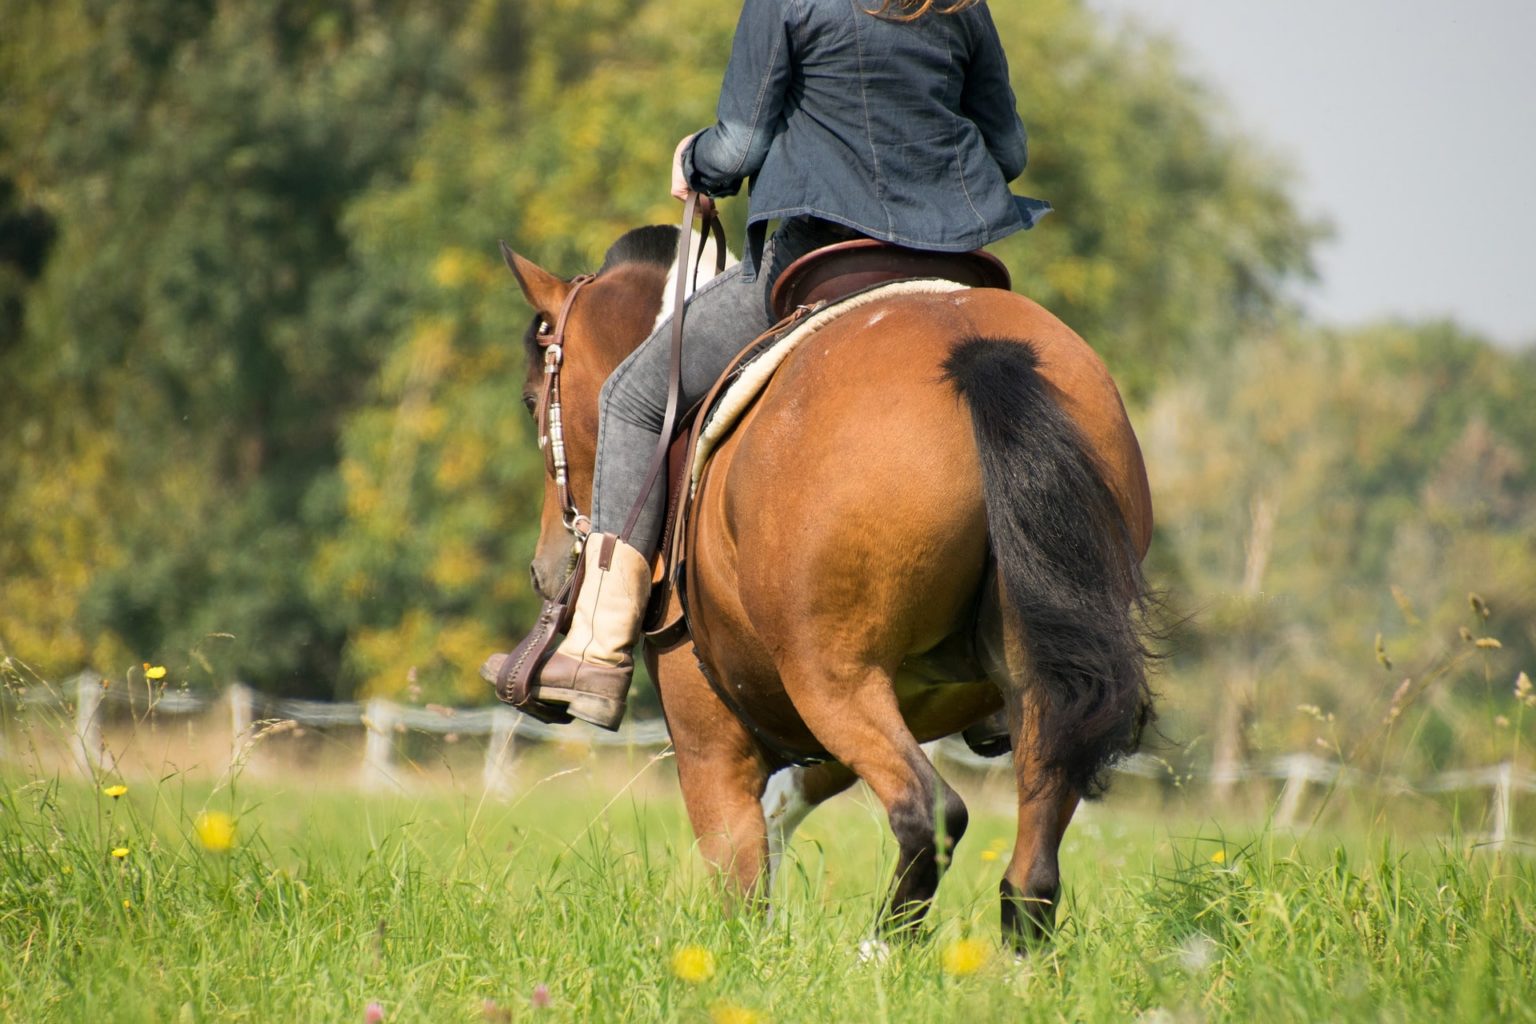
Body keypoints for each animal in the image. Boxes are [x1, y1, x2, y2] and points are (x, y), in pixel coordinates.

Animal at [501, 223, 1155, 949]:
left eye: (532, 400)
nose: (543, 566)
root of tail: (977, 349)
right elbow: (782, 811)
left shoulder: (711, 740)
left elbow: (741, 873)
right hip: (1023, 690)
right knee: (1032, 870)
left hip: (833, 679)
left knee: (929, 811)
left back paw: (882, 949)